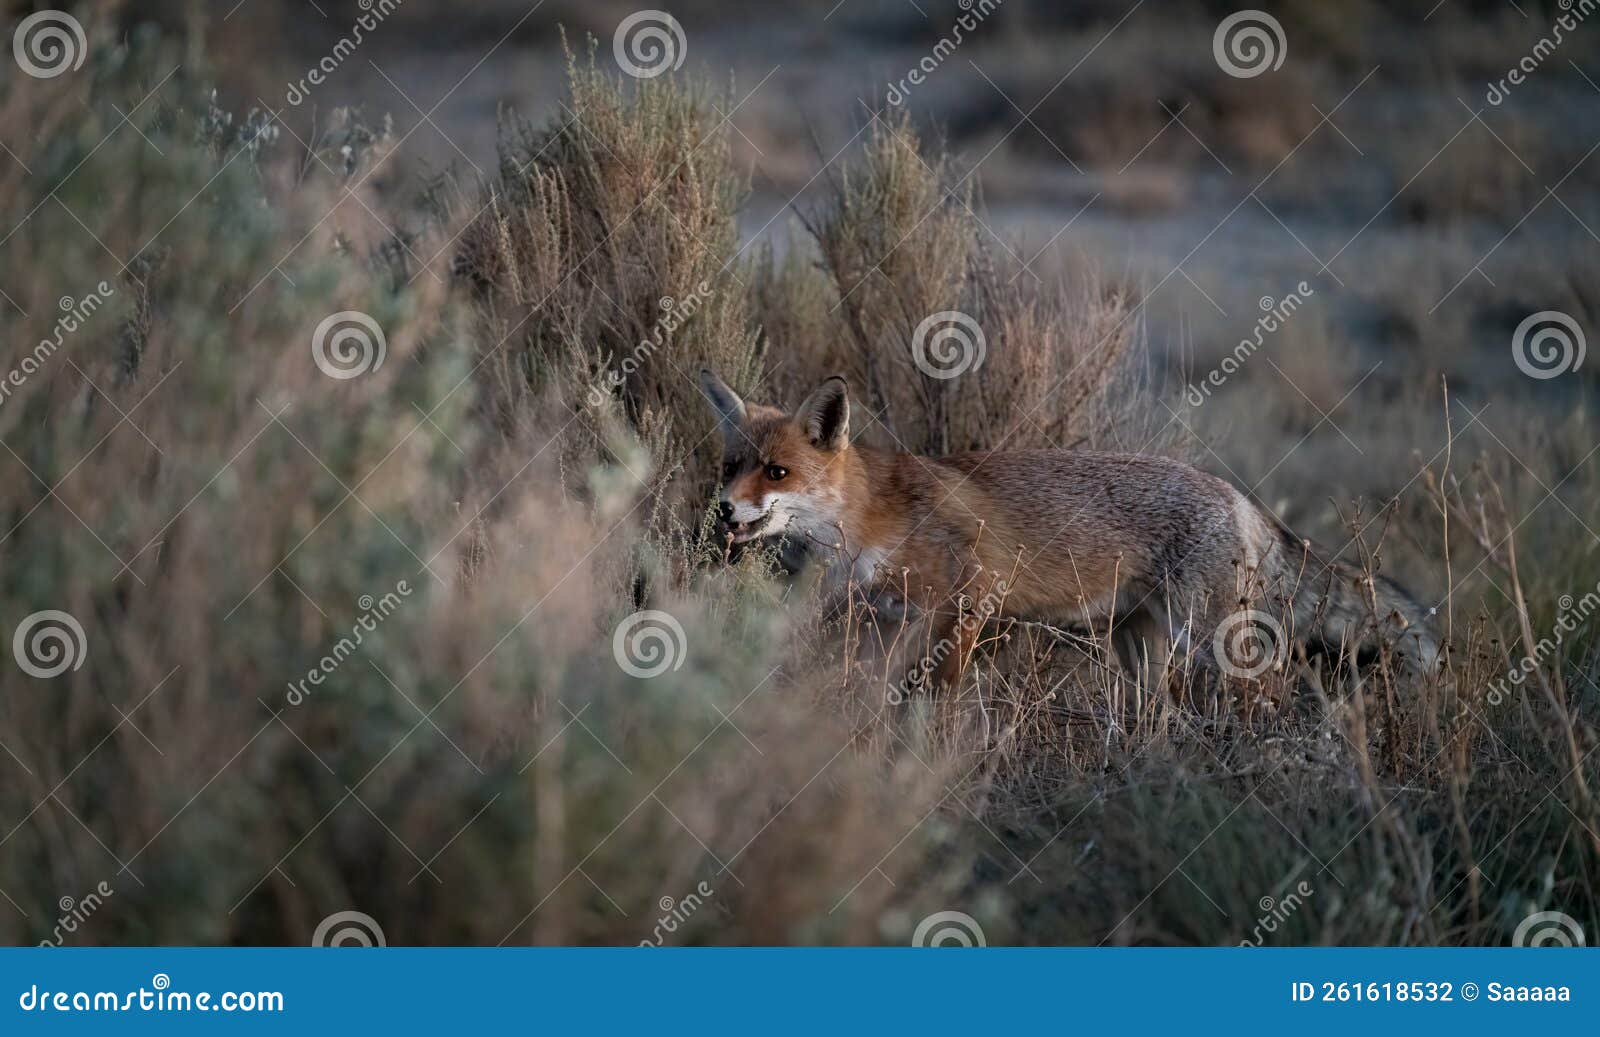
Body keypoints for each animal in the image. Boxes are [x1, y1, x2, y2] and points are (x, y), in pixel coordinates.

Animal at [699, 369, 1440, 693]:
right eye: (731, 465)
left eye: (777, 471)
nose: (724, 511)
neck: (872, 517)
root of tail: (1241, 496)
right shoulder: (890, 618)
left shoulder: (967, 605)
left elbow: (937, 700)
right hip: (1139, 645)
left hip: (1209, 640)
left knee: (1270, 688)